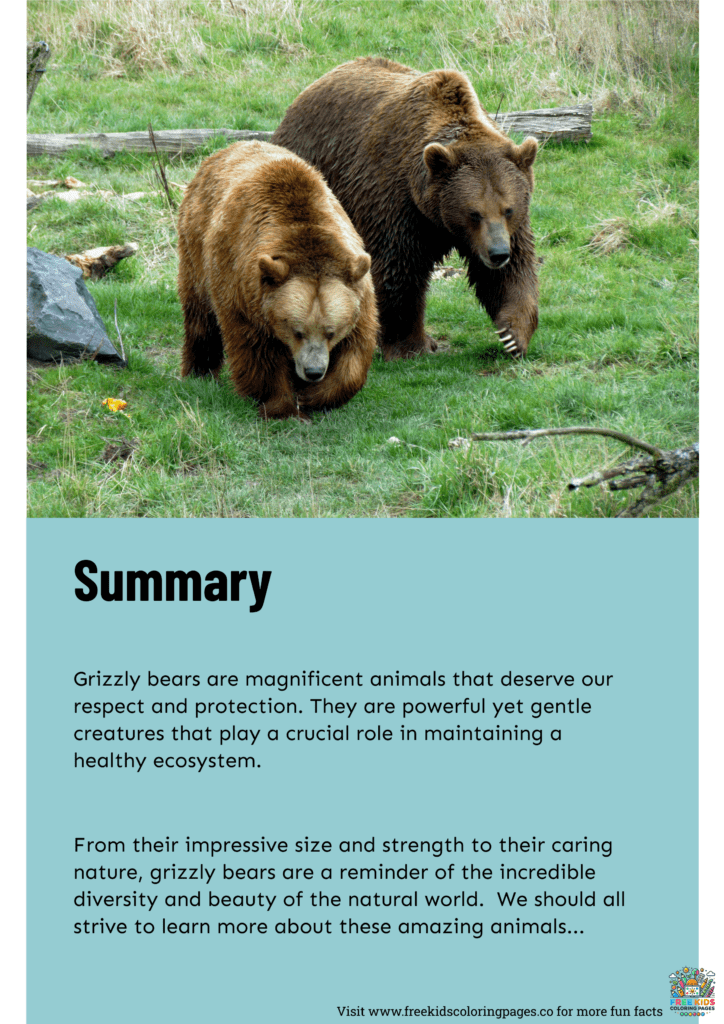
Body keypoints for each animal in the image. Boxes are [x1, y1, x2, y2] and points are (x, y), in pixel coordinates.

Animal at [177, 140, 378, 420]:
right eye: (297, 331)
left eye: (331, 331)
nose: (313, 372)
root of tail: (224, 150)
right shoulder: (242, 290)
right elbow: (258, 354)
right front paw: (281, 406)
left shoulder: (358, 290)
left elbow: (354, 355)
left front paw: (313, 397)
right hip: (195, 244)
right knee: (200, 316)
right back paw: (199, 372)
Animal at [271, 56, 539, 360]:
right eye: (474, 213)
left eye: (508, 209)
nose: (497, 253)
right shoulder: (397, 201)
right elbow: (398, 268)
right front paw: (410, 345)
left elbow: (511, 270)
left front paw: (512, 335)